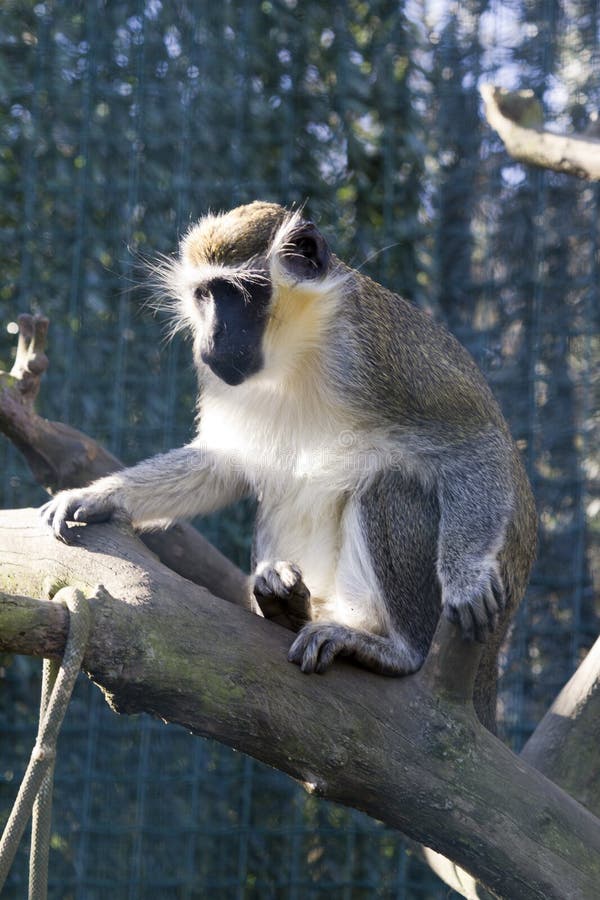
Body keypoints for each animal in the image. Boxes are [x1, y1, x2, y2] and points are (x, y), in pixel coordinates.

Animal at [41, 200, 537, 731]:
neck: (296, 347)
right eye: (203, 295)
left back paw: (394, 649)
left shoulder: (381, 355)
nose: (211, 340)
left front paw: (466, 577)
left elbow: (477, 441)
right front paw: (97, 494)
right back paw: (282, 601)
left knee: (391, 484)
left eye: (236, 294)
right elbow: (223, 462)